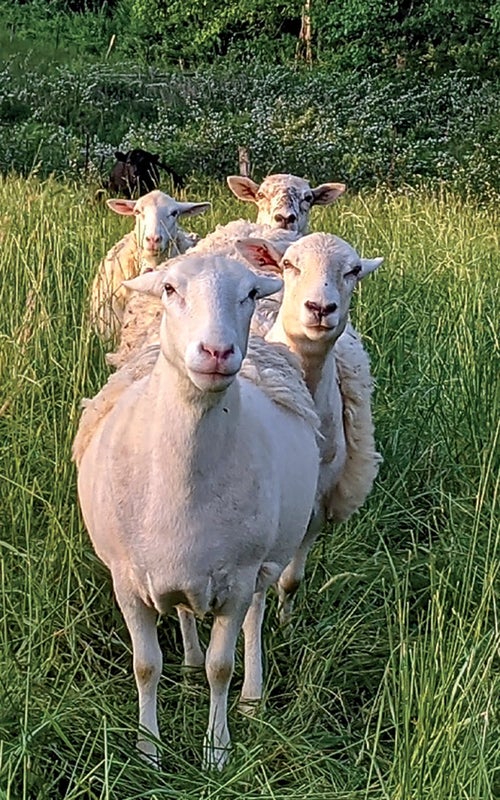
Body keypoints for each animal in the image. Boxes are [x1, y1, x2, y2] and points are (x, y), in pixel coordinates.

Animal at [73, 254, 320, 769]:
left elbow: (221, 667)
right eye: (169, 289)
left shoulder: (238, 579)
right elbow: (145, 666)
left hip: (264, 563)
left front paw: (216, 752)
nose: (217, 352)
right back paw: (186, 665)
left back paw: (252, 696)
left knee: (254, 619)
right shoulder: (126, 580)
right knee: (186, 613)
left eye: (250, 293)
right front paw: (148, 751)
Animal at [235, 233, 383, 622]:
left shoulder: (318, 503)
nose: (320, 308)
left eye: (354, 270)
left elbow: (291, 580)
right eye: (290, 264)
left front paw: (287, 625)